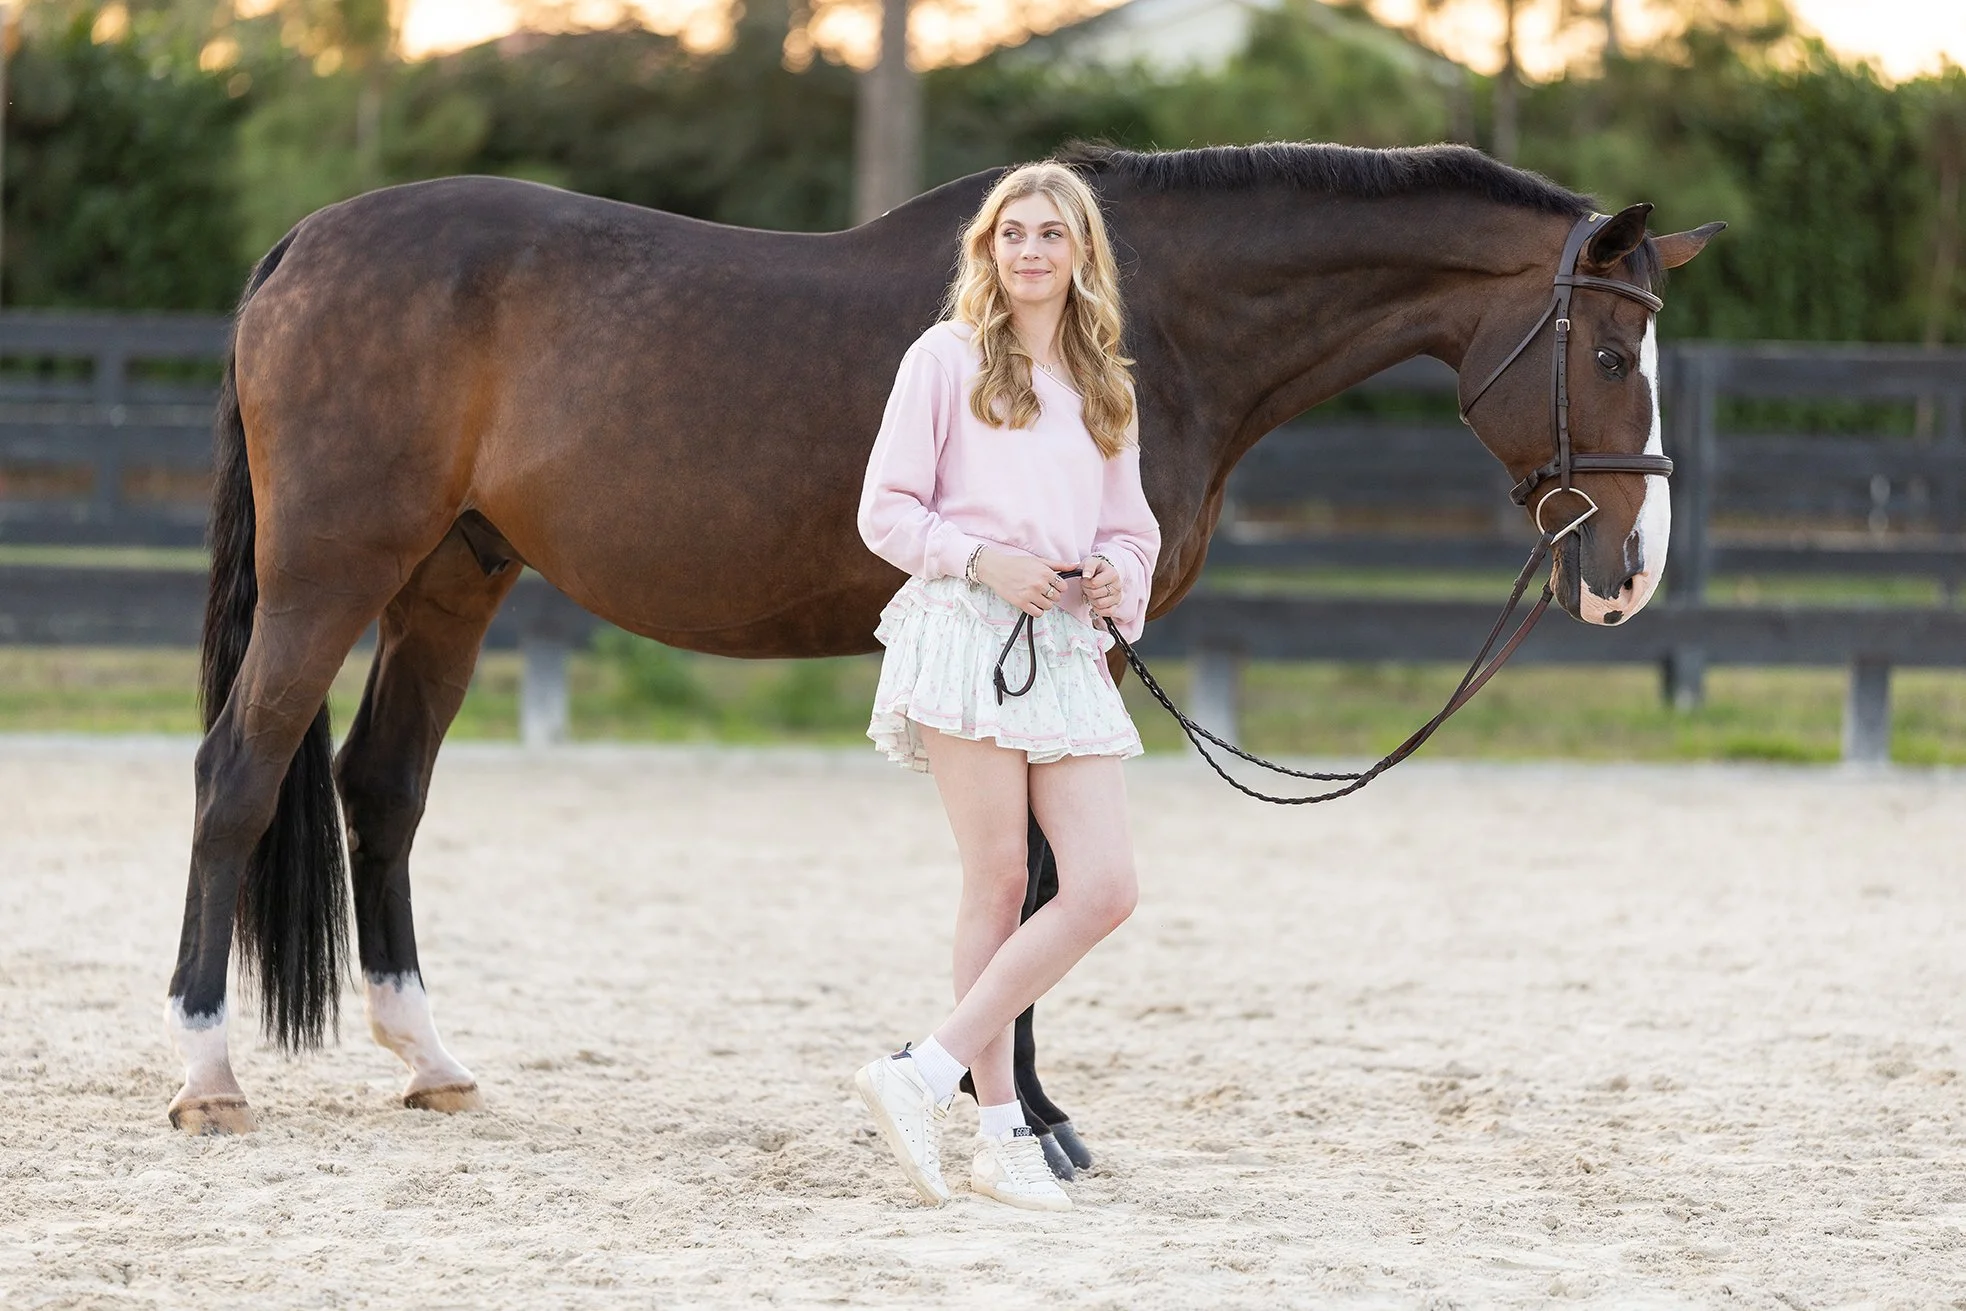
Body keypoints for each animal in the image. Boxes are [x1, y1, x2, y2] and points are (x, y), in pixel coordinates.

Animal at [164, 143, 1722, 1164]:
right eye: (1605, 356)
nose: (1630, 574)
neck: (1149, 311)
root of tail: (304, 246)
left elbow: (1032, 878)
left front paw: (1012, 1103)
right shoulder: (1077, 632)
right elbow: (1035, 877)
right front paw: (1025, 1116)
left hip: (452, 578)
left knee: (380, 789)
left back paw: (429, 1060)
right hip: (333, 571)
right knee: (239, 774)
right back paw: (206, 1073)